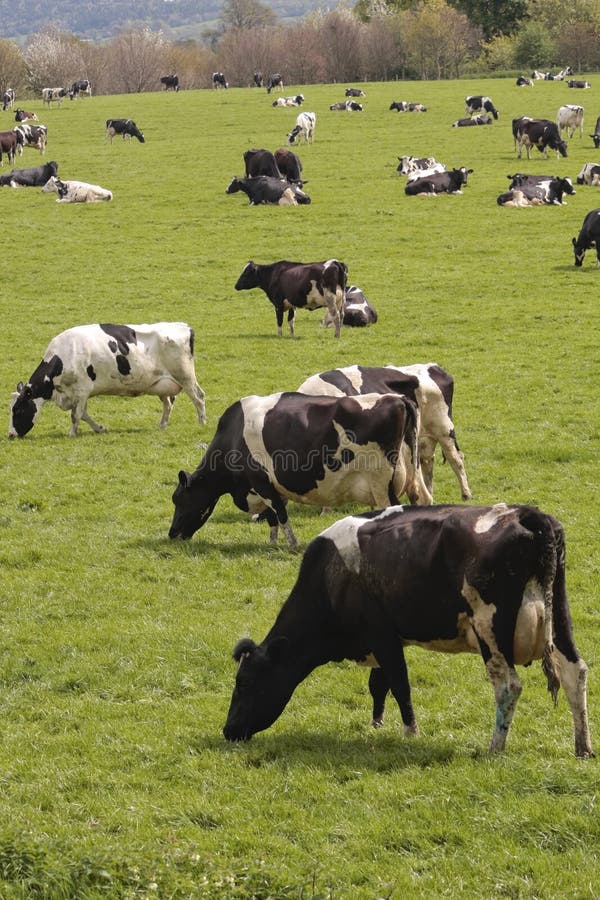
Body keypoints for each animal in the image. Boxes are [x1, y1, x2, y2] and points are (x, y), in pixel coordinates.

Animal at [9, 322, 206, 439]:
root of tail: (184, 326)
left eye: (18, 410)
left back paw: (202, 423)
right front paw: (100, 428)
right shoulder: (77, 394)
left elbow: (76, 415)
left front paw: (72, 433)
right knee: (168, 404)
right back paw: (162, 425)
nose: (10, 435)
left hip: (185, 375)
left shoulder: (82, 390)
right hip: (162, 385)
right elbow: (84, 414)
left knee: (199, 397)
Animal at [168, 391, 432, 547]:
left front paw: (292, 545)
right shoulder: (268, 488)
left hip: (380, 484)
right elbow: (272, 518)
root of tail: (397, 399)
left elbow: (281, 515)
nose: (172, 534)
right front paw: (272, 544)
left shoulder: (262, 482)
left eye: (180, 500)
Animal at [222, 503, 593, 761]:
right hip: (559, 617)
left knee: (508, 686)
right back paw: (583, 747)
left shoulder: (383, 636)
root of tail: (527, 514)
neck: (330, 577)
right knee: (574, 672)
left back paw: (494, 746)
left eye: (244, 682)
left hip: (489, 630)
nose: (228, 730)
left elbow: (400, 685)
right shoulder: (386, 641)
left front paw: (411, 733)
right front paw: (376, 725)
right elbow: (379, 685)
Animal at [297, 363, 472, 501]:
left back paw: (466, 493)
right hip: (421, 438)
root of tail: (434, 367)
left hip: (444, 429)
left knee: (456, 458)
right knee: (427, 461)